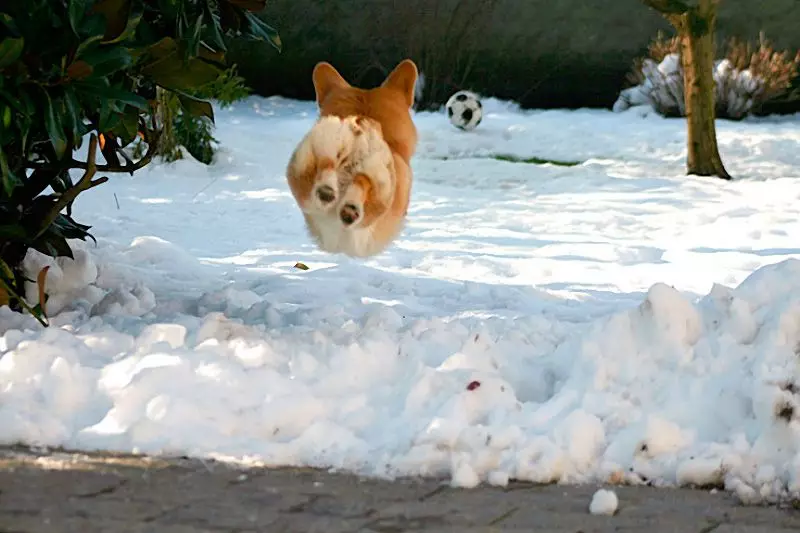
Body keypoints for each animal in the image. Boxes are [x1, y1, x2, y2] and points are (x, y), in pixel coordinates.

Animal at [284, 59, 418, 256]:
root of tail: (358, 124)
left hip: (308, 159)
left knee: (326, 164)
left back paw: (328, 193)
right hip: (381, 188)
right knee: (363, 183)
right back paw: (349, 209)